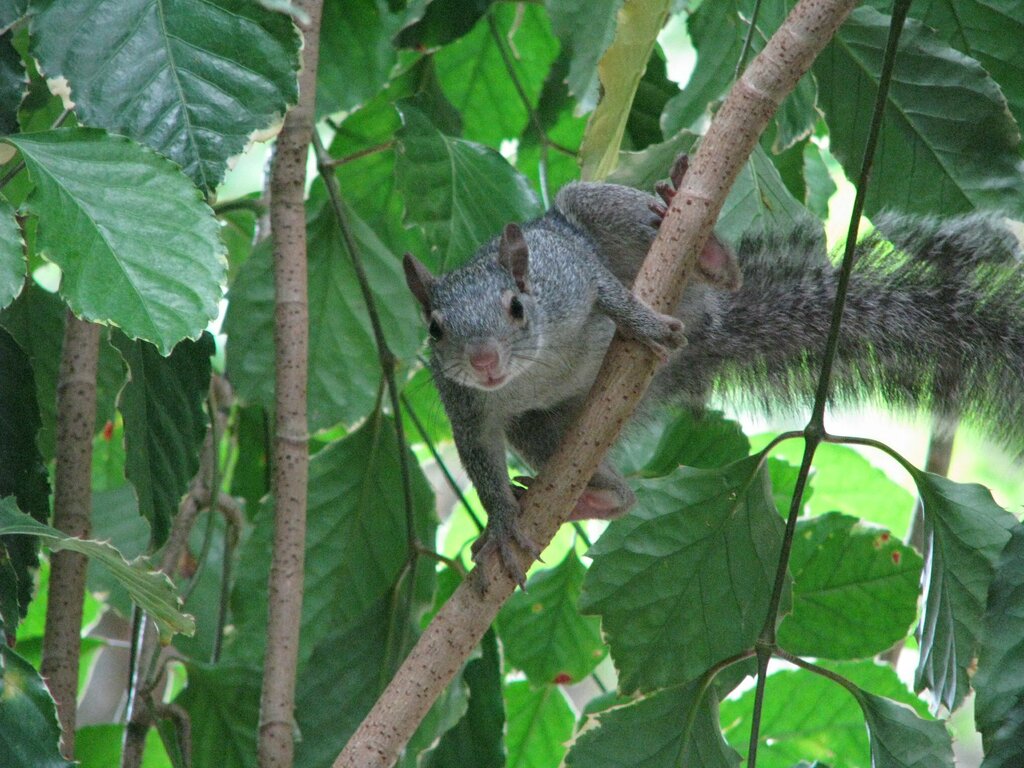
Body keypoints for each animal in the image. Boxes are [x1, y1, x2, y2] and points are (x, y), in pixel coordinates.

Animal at [403, 156, 1024, 586]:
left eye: (516, 307)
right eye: (435, 329)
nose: (483, 362)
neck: (528, 372)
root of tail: (707, 336)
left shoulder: (570, 276)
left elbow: (608, 293)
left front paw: (641, 323)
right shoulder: (467, 408)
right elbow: (480, 459)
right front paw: (501, 524)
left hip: (621, 231)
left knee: (708, 274)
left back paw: (708, 260)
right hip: (547, 425)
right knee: (616, 489)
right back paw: (591, 499)